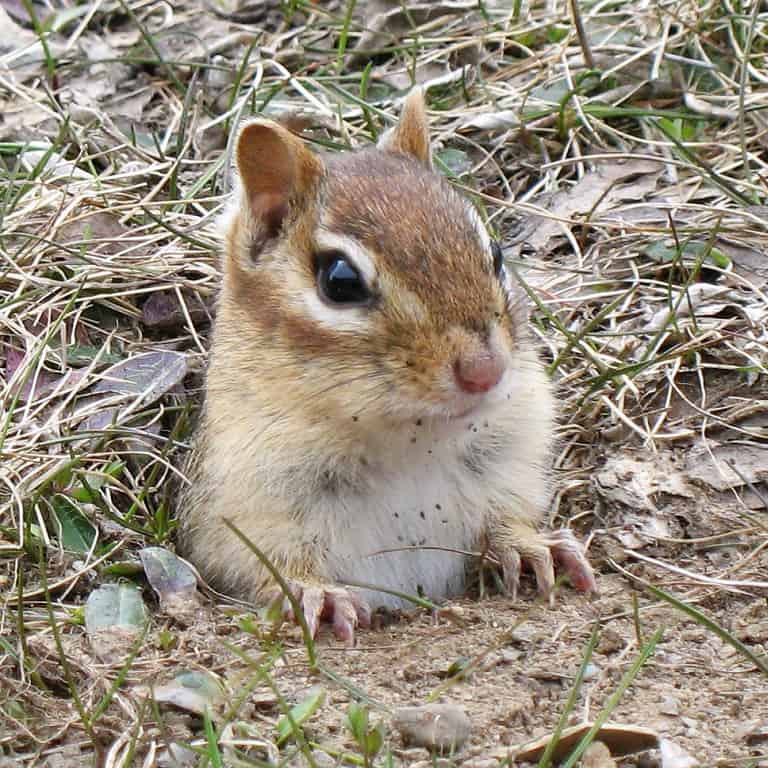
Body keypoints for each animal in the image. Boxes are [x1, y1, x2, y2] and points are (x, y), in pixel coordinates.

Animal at [178, 89, 596, 643]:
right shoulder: (244, 502)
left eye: (496, 254)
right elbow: (265, 567)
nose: (484, 371)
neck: (411, 441)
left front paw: (530, 545)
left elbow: (505, 517)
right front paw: (316, 593)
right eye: (339, 281)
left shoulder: (511, 453)